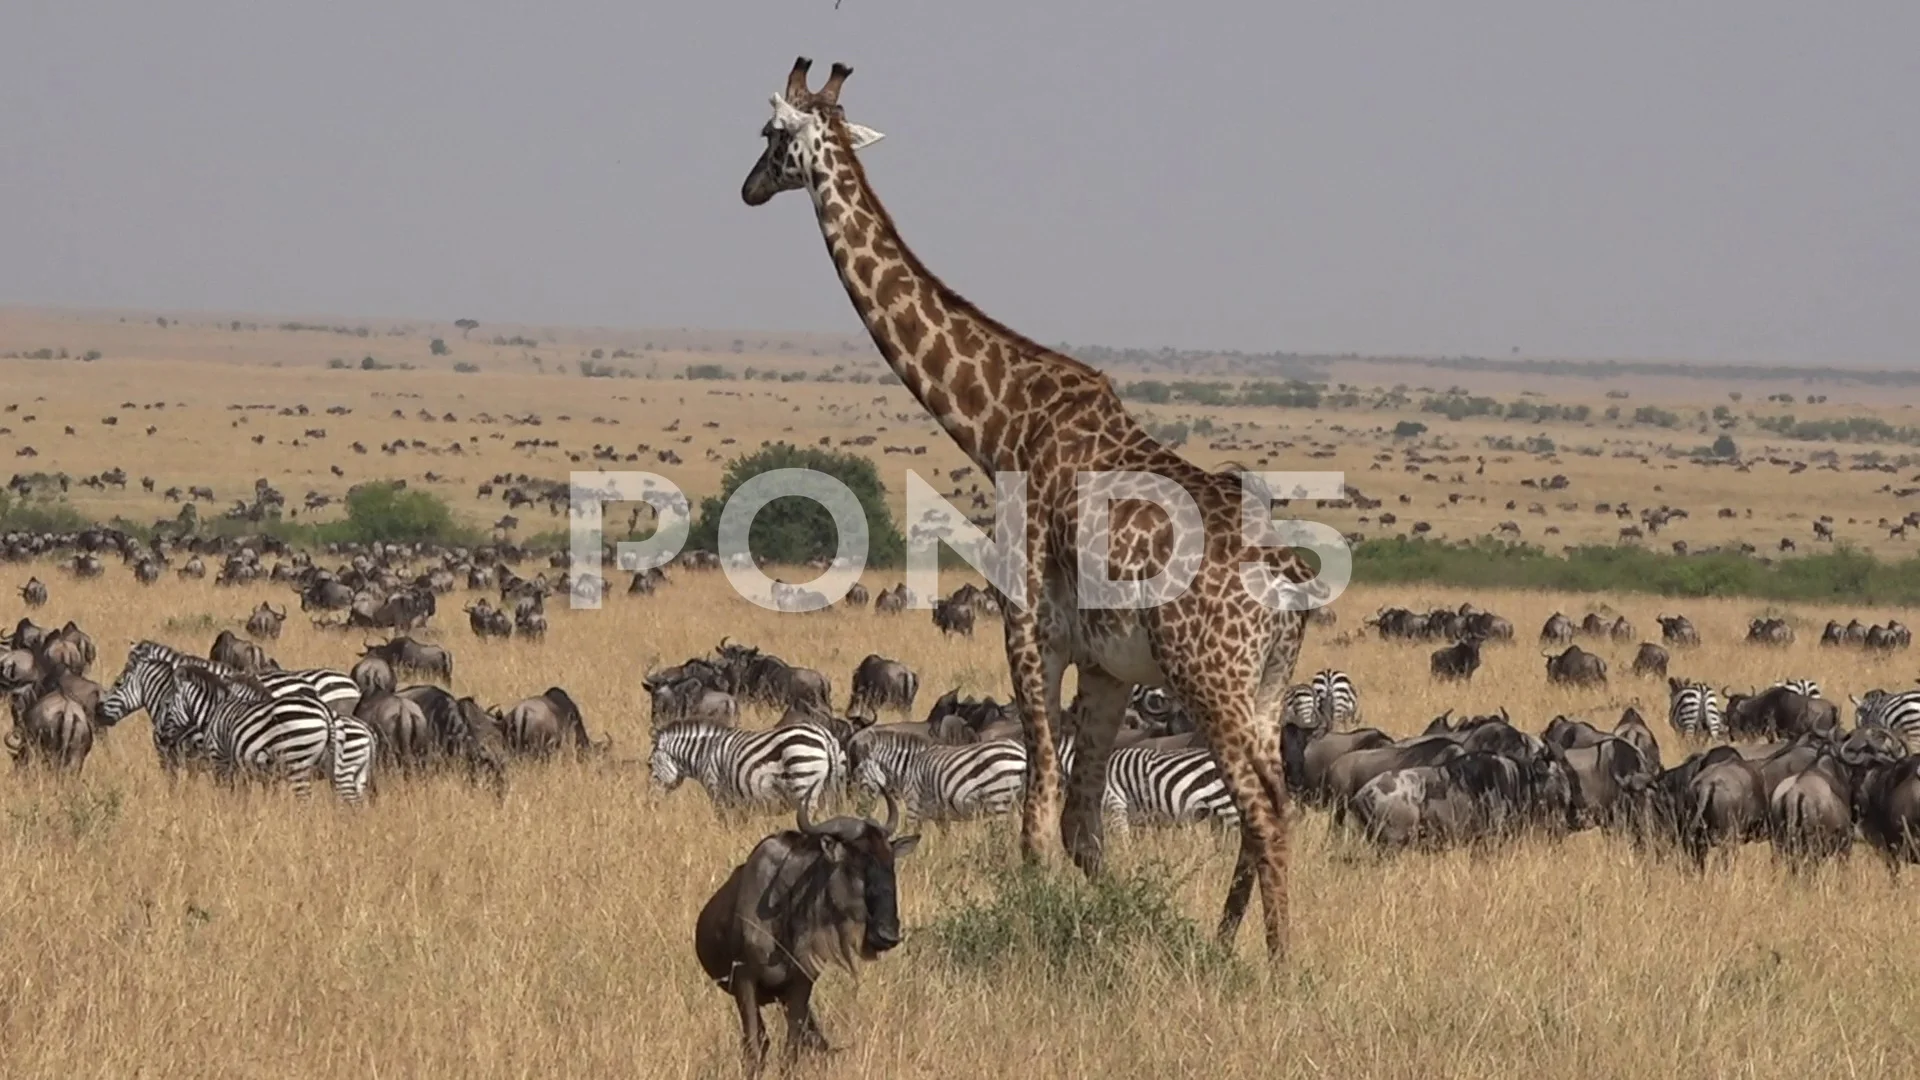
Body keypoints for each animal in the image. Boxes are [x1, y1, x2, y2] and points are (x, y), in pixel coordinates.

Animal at [161, 665, 340, 798]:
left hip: (297, 762)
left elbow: (225, 794)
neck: (214, 711)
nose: (162, 737)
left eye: (167, 703)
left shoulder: (220, 760)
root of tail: (324, 711)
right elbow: (247, 796)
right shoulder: (247, 771)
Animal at [649, 720, 844, 813]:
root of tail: (824, 735)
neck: (704, 754)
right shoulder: (739, 803)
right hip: (828, 788)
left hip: (803, 781)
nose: (651, 802)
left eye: (649, 765)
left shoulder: (718, 792)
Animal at [848, 729, 1028, 823]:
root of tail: (1022, 752)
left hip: (999, 801)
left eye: (859, 772)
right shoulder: (941, 816)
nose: (858, 810)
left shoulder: (913, 805)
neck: (908, 767)